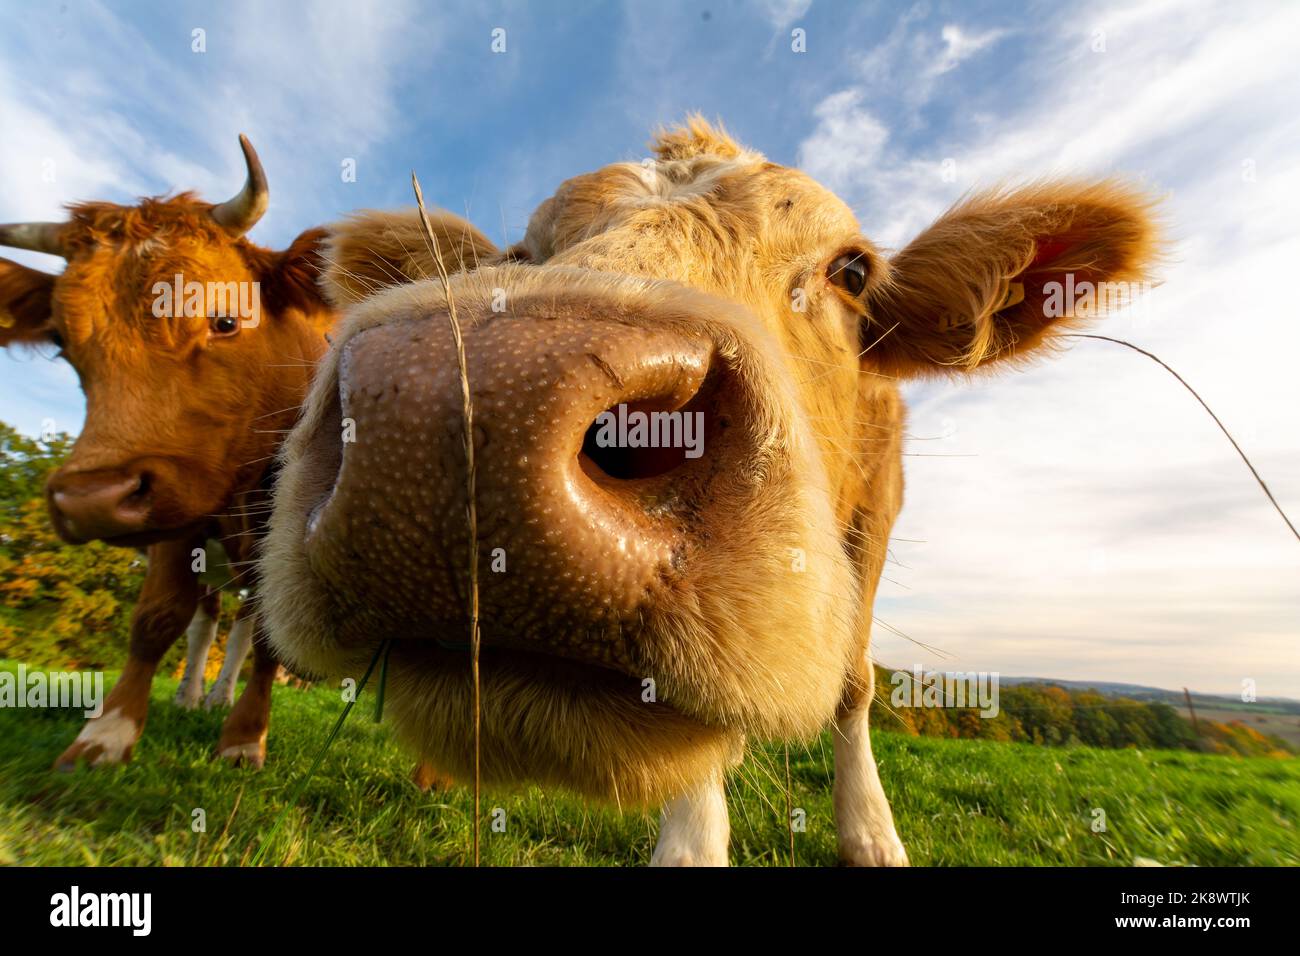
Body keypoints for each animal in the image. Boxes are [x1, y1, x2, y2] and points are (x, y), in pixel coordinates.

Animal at [260, 117, 1158, 865]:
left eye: (852, 271)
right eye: (520, 252)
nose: (470, 405)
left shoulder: (879, 513)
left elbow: (857, 685)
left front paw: (871, 833)